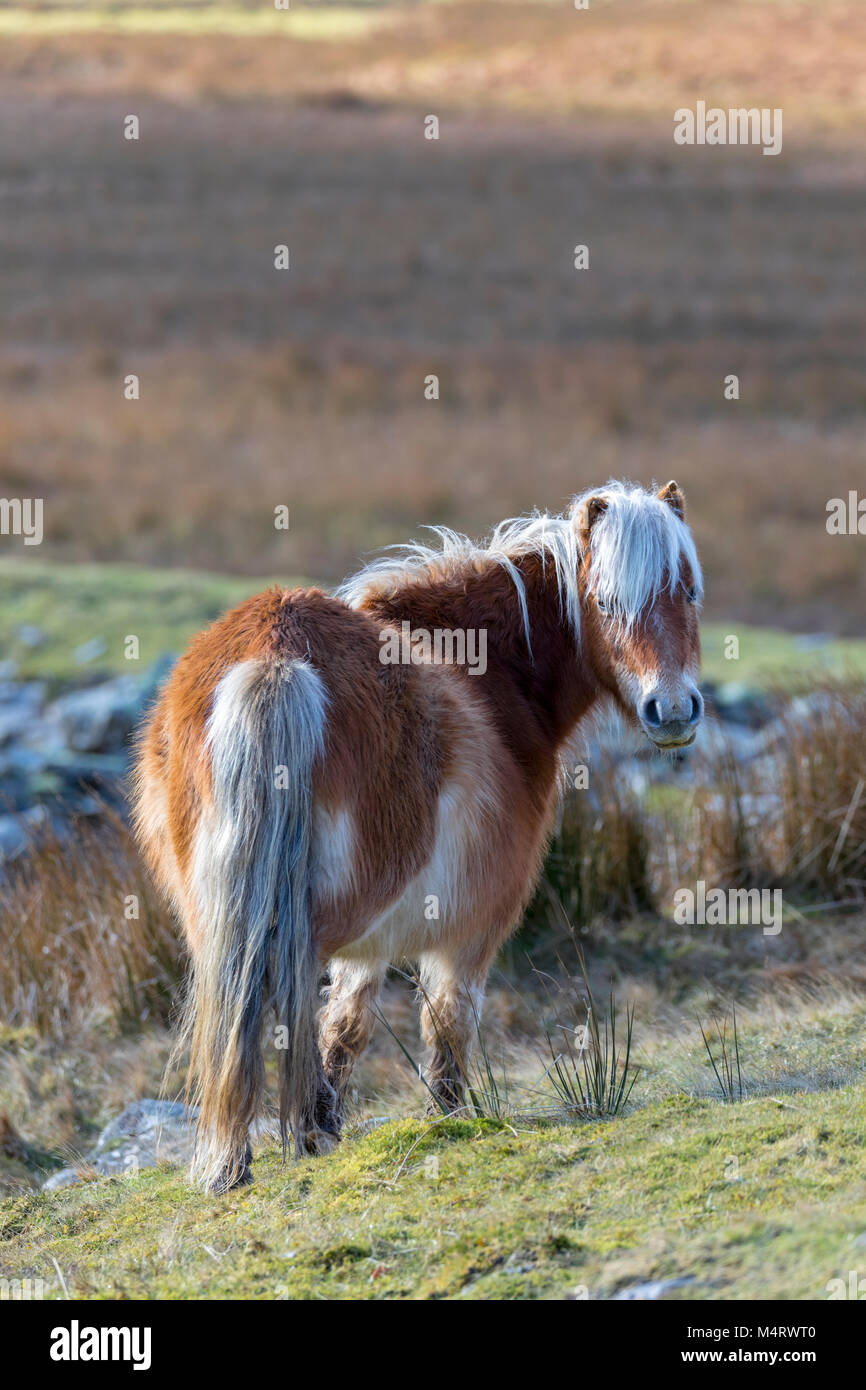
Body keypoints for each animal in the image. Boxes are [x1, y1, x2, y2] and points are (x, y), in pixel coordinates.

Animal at [132, 479, 703, 1191]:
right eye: (605, 602)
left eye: (688, 592)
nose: (672, 711)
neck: (488, 673)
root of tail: (275, 654)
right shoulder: (472, 928)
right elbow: (446, 1020)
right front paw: (447, 1118)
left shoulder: (371, 948)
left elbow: (346, 1023)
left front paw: (332, 1117)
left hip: (214, 912)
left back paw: (233, 1157)